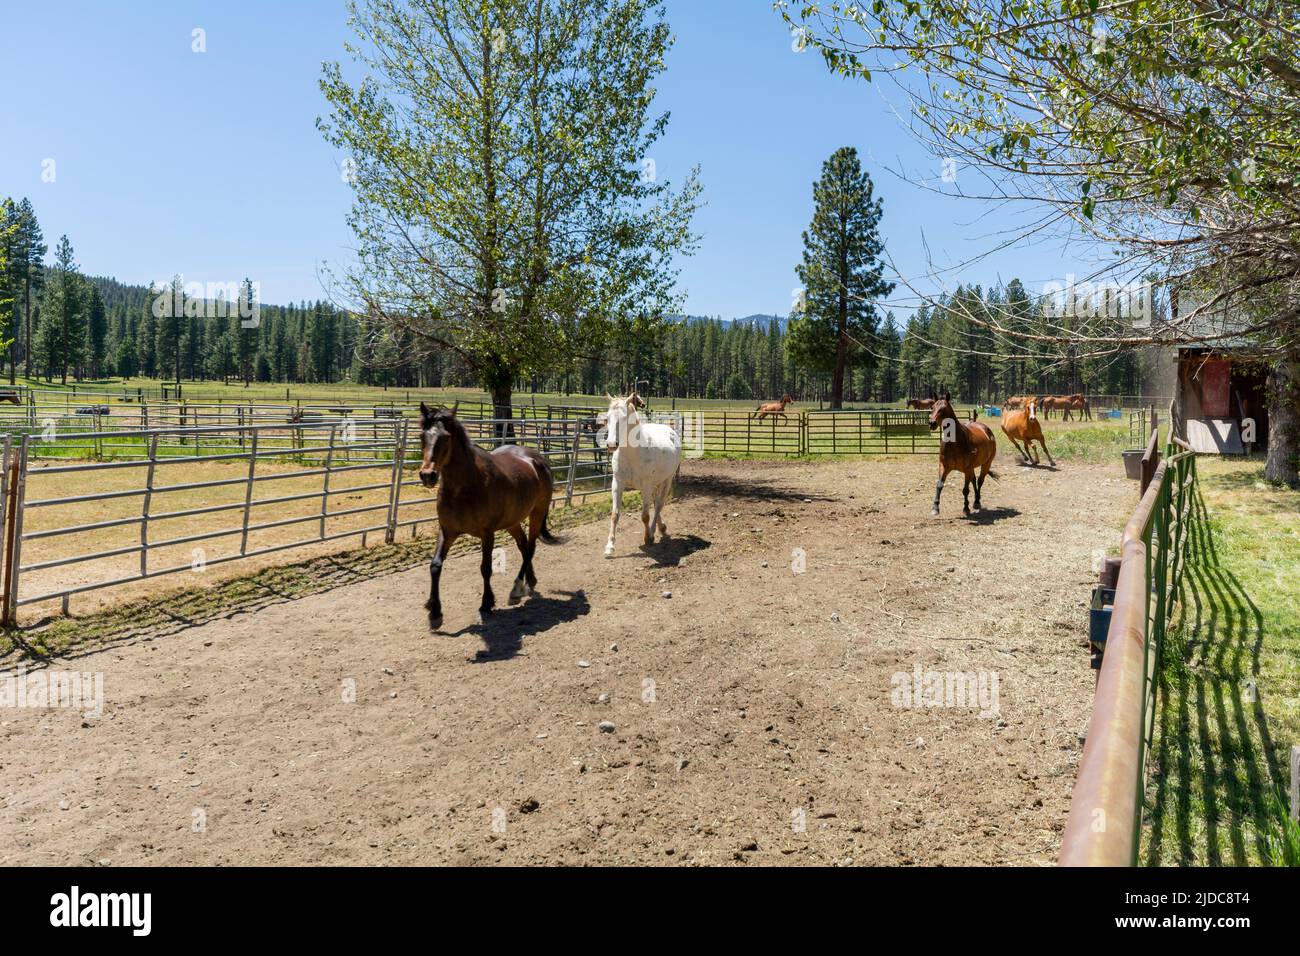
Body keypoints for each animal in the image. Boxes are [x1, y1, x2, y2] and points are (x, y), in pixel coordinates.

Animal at [417, 402, 559, 630]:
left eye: (446, 437)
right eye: (422, 435)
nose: (428, 475)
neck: (465, 486)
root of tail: (538, 460)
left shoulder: (487, 534)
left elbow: (485, 568)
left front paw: (486, 603)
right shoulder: (447, 531)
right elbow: (435, 565)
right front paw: (435, 612)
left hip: (536, 513)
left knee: (530, 547)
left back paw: (516, 590)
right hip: (512, 521)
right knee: (523, 546)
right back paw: (530, 581)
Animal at [599, 391, 682, 557]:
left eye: (624, 418)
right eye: (607, 418)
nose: (611, 444)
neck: (633, 454)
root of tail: (671, 432)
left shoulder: (646, 486)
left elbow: (645, 515)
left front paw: (648, 538)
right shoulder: (617, 484)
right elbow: (615, 515)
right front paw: (610, 546)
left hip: (666, 480)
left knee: (658, 505)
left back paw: (654, 531)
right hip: (655, 484)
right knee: (656, 503)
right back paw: (661, 527)